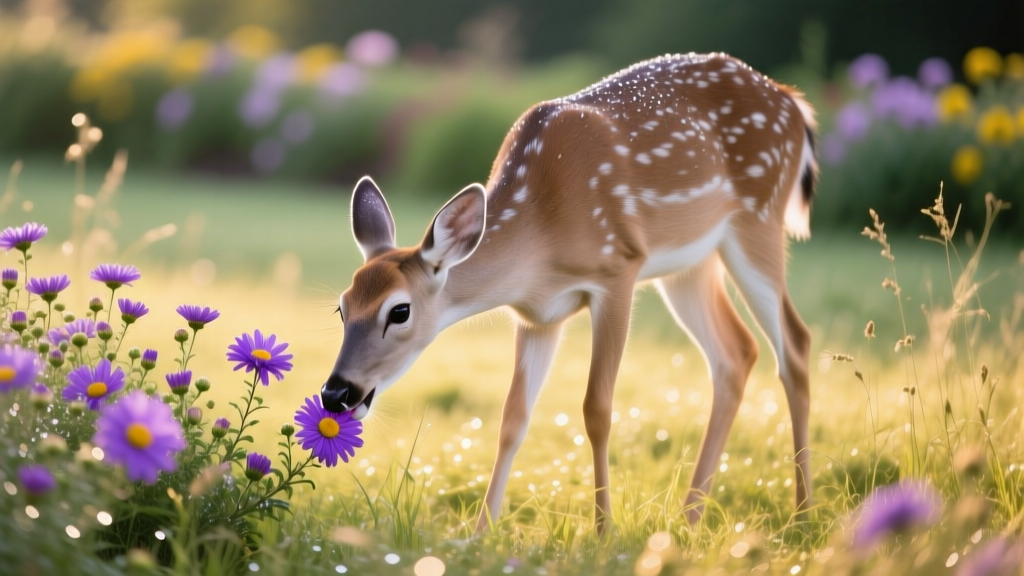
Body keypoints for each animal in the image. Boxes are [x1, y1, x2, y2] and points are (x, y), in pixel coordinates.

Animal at [321, 52, 818, 532]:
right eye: (342, 309)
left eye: (399, 311)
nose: (335, 393)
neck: (542, 236)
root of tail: (795, 102)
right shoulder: (537, 313)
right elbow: (512, 418)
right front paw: (479, 534)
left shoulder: (618, 268)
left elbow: (597, 409)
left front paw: (603, 533)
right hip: (690, 264)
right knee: (736, 352)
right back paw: (690, 519)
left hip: (758, 218)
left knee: (795, 342)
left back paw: (801, 517)